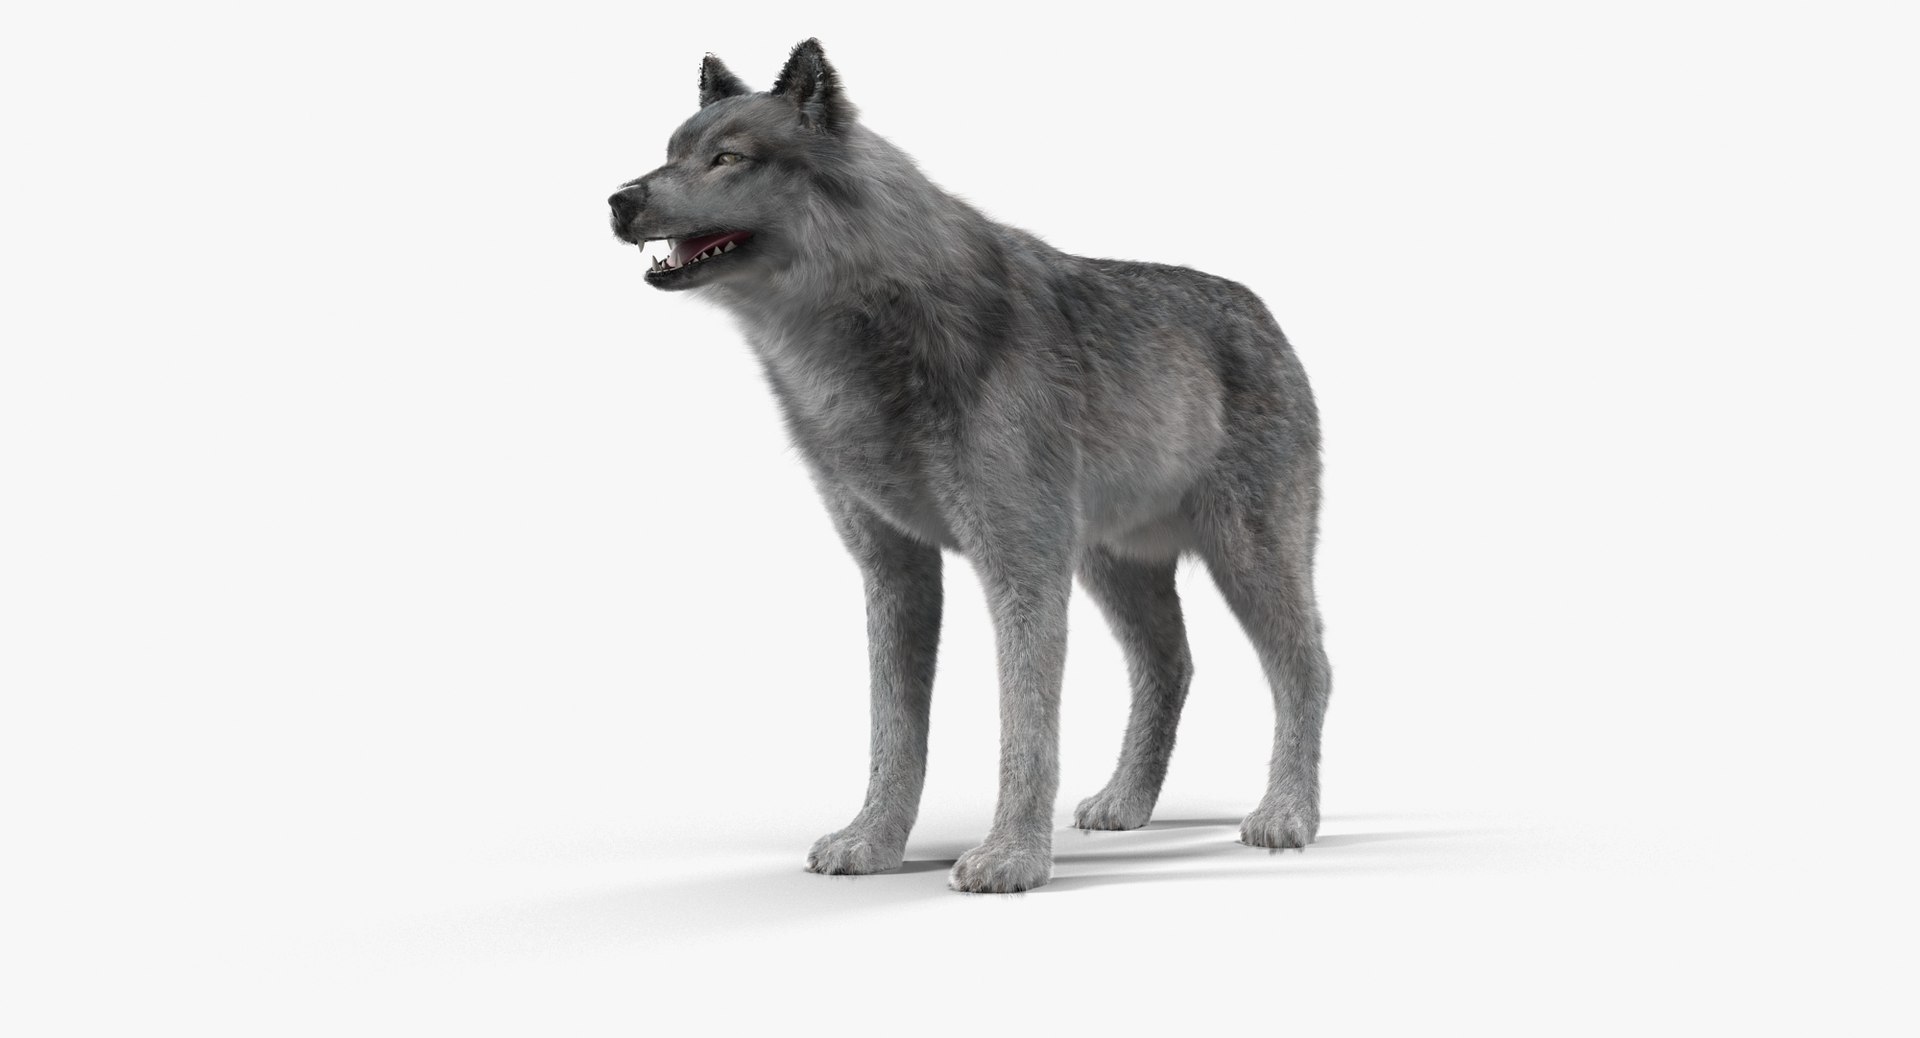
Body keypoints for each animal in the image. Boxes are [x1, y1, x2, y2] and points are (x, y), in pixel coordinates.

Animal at [609, 40, 1331, 893]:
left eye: (727, 159)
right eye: (669, 153)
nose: (617, 200)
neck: (856, 339)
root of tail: (1259, 309)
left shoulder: (1022, 566)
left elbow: (1025, 727)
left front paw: (1011, 859)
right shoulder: (895, 569)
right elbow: (894, 733)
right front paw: (873, 843)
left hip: (1246, 558)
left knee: (1307, 669)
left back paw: (1288, 816)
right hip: (1114, 568)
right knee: (1171, 666)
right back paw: (1126, 803)